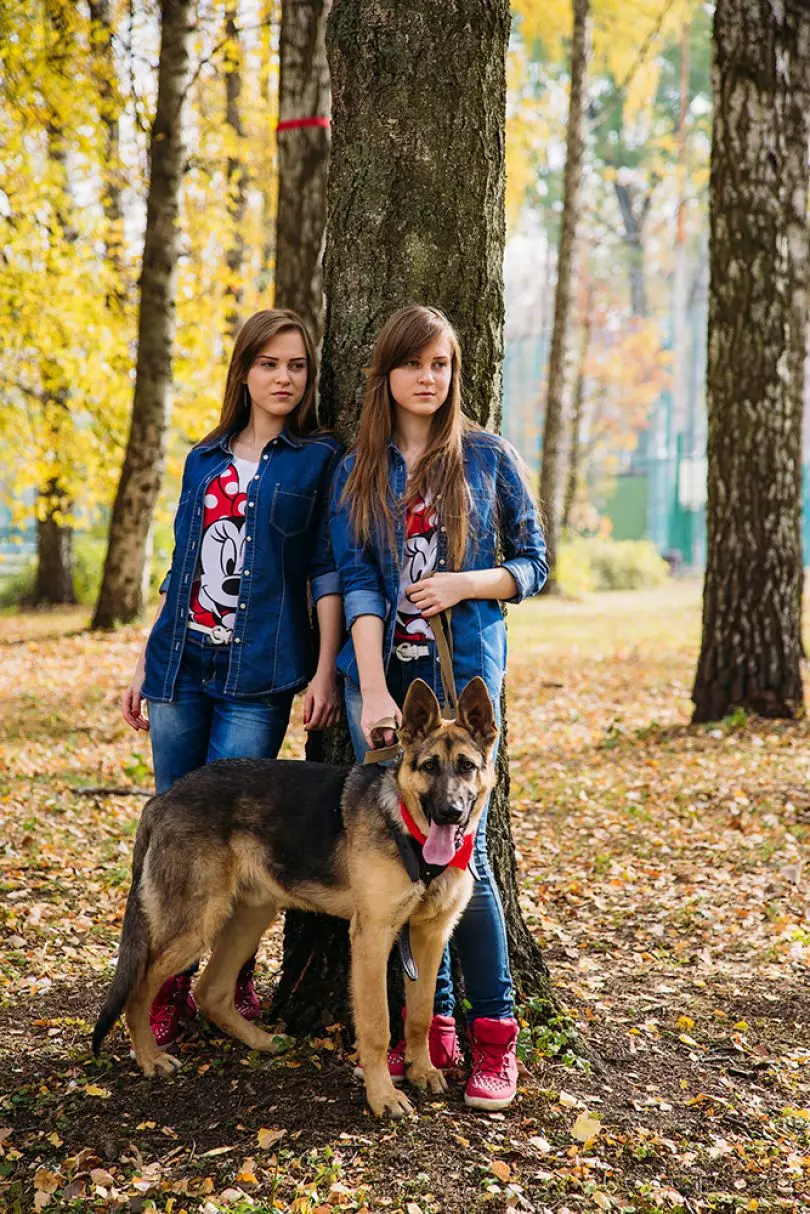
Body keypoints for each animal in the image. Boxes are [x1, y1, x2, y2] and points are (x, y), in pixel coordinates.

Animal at [95, 679, 500, 1112]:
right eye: (429, 767)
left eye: (466, 766)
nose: (450, 812)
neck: (409, 828)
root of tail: (162, 799)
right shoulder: (372, 936)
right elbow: (377, 1025)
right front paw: (382, 1096)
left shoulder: (429, 936)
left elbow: (421, 1013)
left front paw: (421, 1070)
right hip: (197, 923)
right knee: (140, 986)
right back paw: (149, 1057)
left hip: (250, 917)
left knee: (211, 991)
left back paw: (259, 1040)